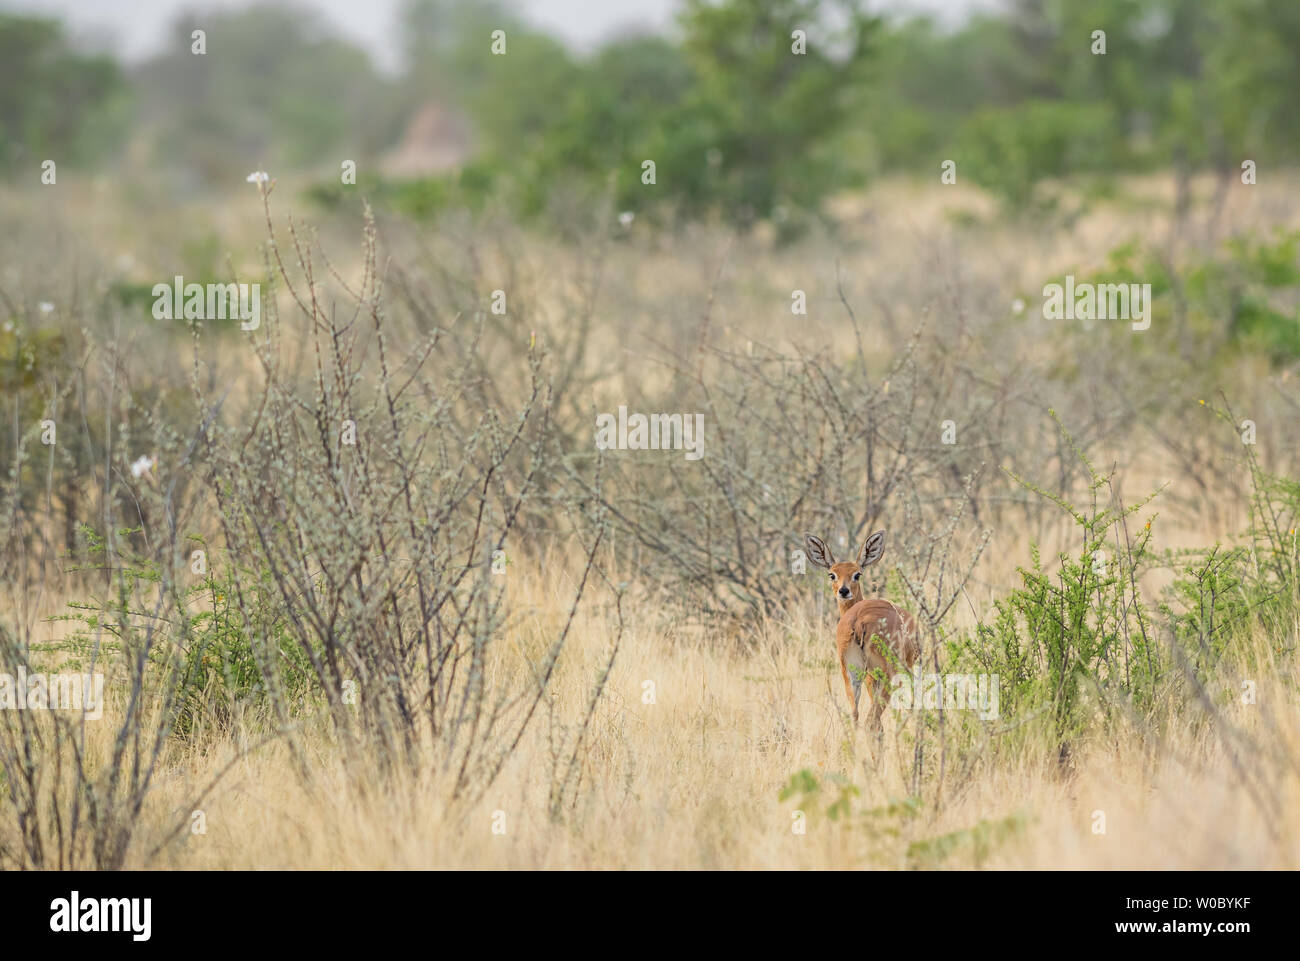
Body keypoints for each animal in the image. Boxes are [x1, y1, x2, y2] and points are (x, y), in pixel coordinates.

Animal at [805, 531, 921, 732]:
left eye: (857, 574)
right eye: (832, 574)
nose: (843, 591)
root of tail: (858, 621)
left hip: (852, 673)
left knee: (855, 717)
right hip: (886, 674)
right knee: (872, 721)